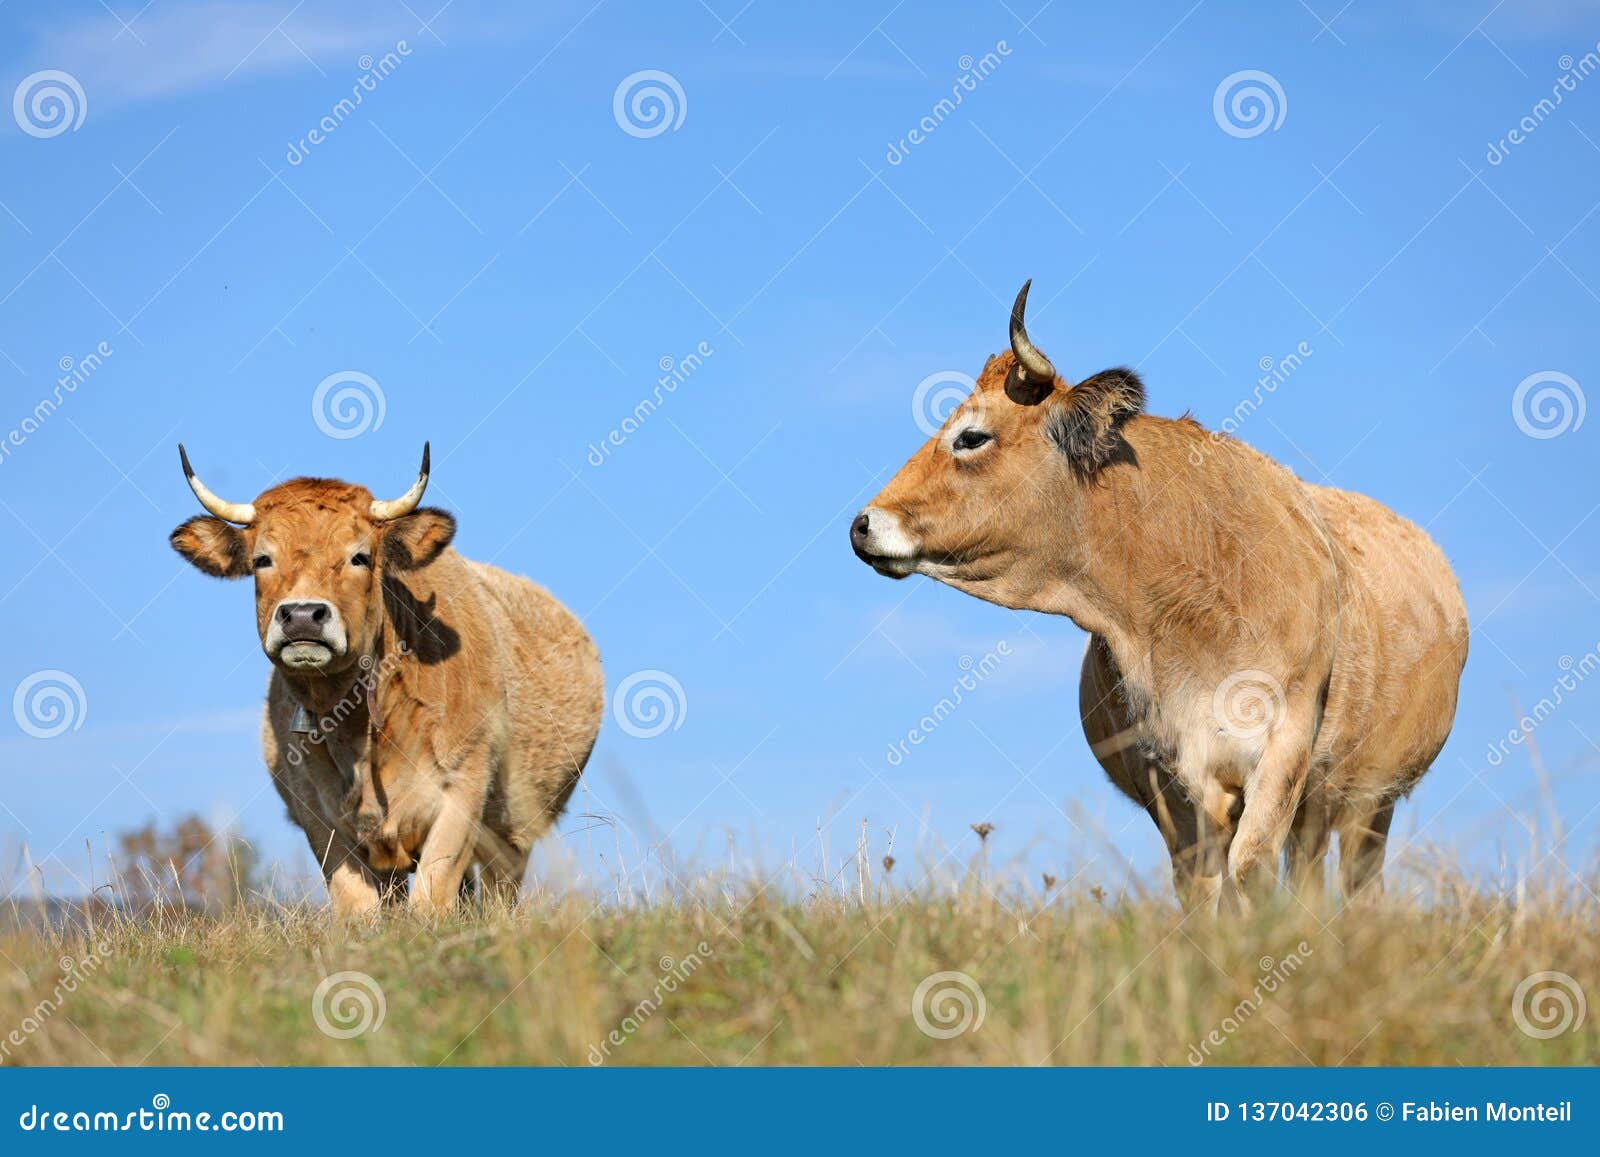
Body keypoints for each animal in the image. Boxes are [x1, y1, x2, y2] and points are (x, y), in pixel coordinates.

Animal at [170, 445, 603, 916]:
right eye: (262, 560)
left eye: (360, 556)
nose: (302, 615)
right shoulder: (318, 817)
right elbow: (358, 907)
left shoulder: (463, 791)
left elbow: (432, 898)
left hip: (513, 834)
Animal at [851, 282, 1468, 909]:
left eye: (970, 437)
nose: (863, 524)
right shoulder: (1170, 775)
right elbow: (1204, 884)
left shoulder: (1286, 741)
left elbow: (1250, 867)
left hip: (1370, 800)